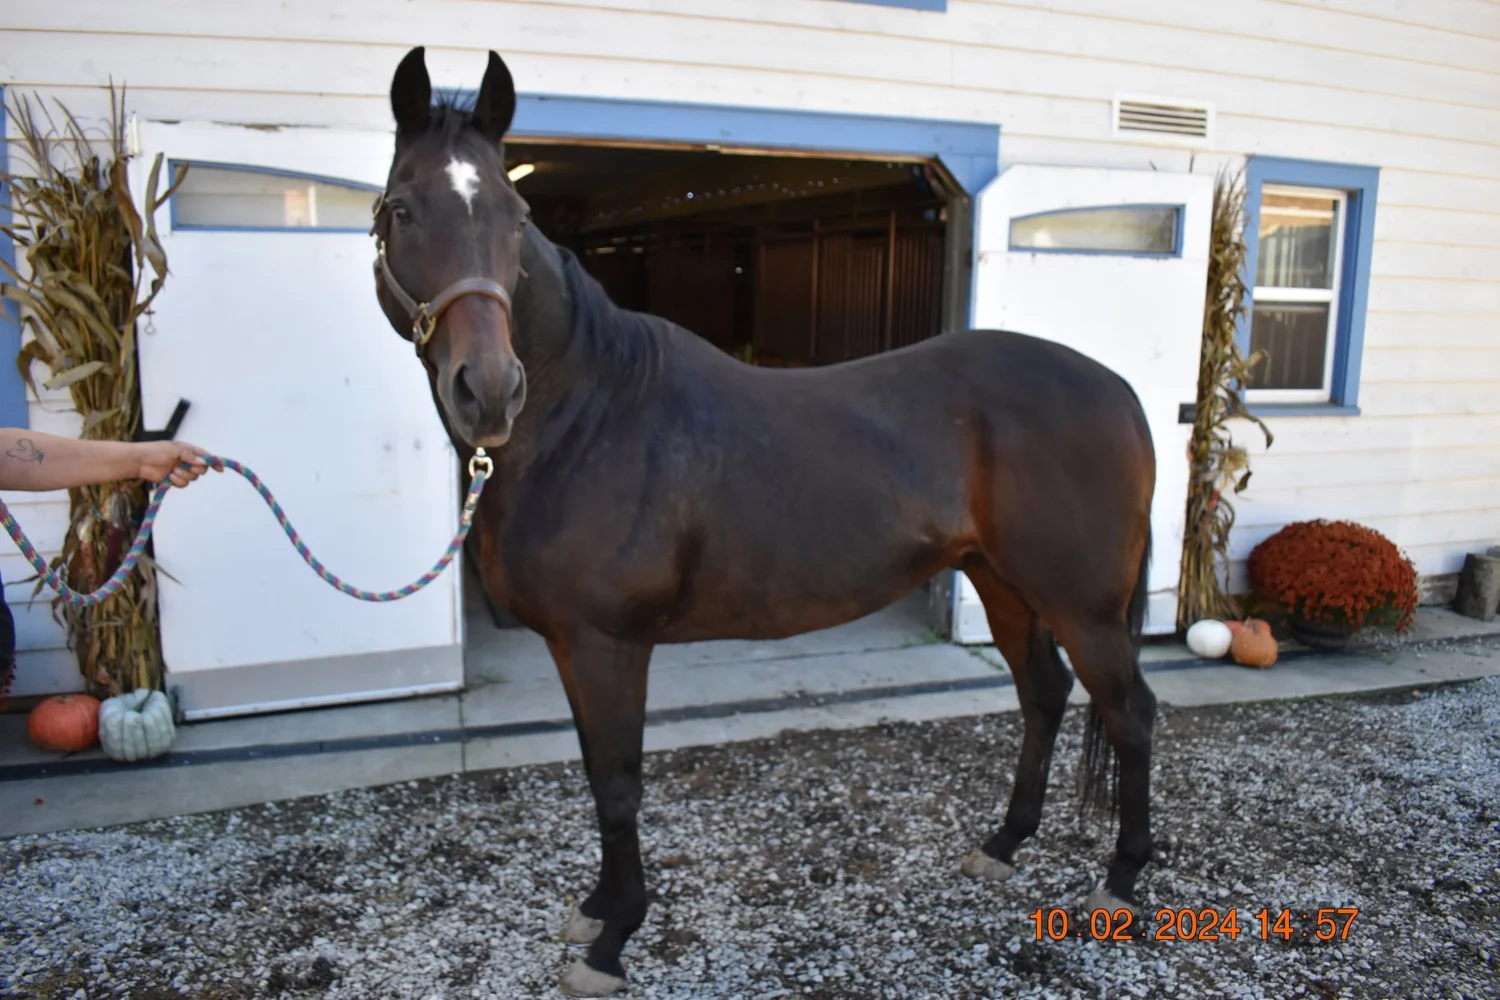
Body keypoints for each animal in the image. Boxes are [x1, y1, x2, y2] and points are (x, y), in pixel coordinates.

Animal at [370, 46, 1160, 998]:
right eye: (401, 207)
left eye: (516, 216)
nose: (488, 391)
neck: (588, 413)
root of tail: (1118, 389)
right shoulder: (571, 644)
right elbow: (597, 773)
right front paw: (595, 911)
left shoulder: (608, 643)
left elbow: (619, 785)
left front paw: (611, 941)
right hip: (999, 580)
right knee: (1043, 693)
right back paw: (1003, 845)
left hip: (1082, 604)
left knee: (1130, 712)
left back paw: (1121, 879)